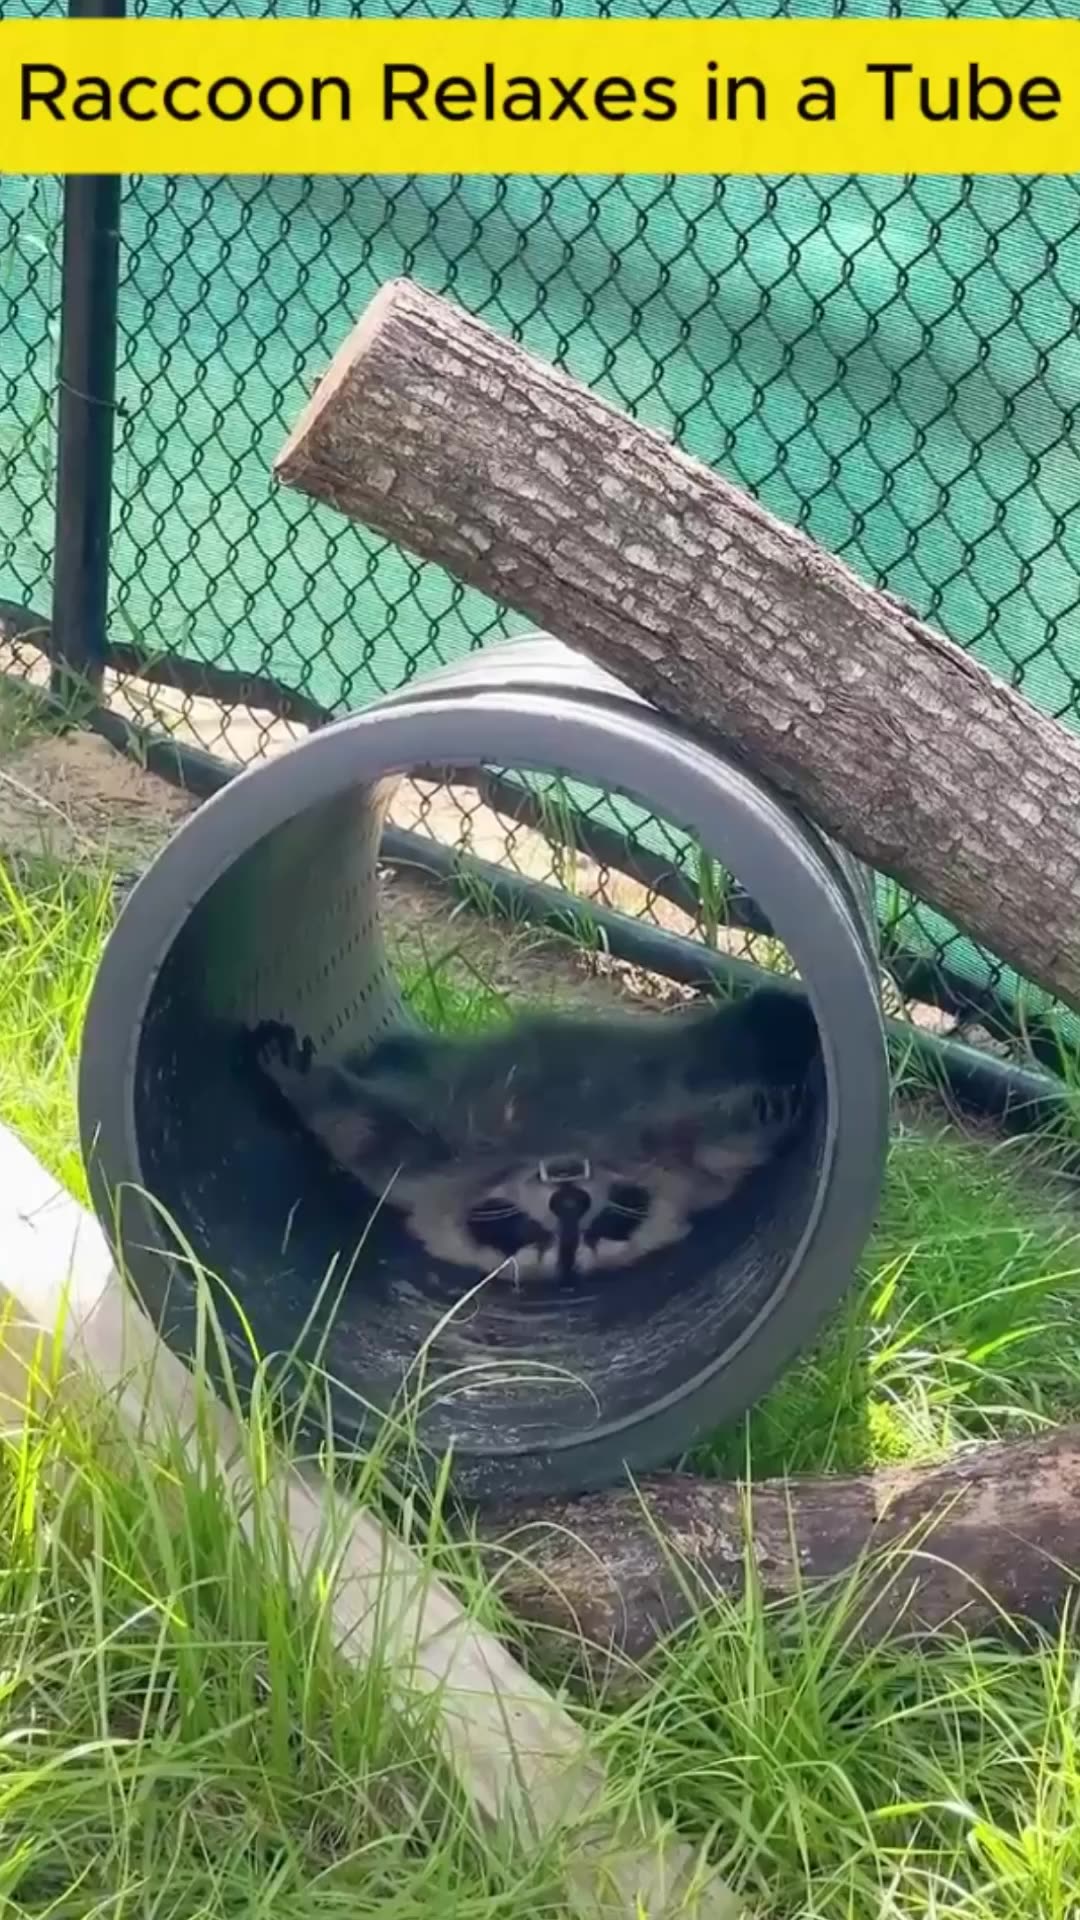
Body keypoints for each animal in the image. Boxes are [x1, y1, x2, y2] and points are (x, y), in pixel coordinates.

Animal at [254, 986, 819, 1285]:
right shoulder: (442, 1150)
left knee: (752, 1026)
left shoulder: (664, 1143)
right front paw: (303, 1082)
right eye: (522, 1233)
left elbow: (717, 1148)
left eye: (610, 1224)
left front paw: (760, 1122)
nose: (568, 1200)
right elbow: (360, 1130)